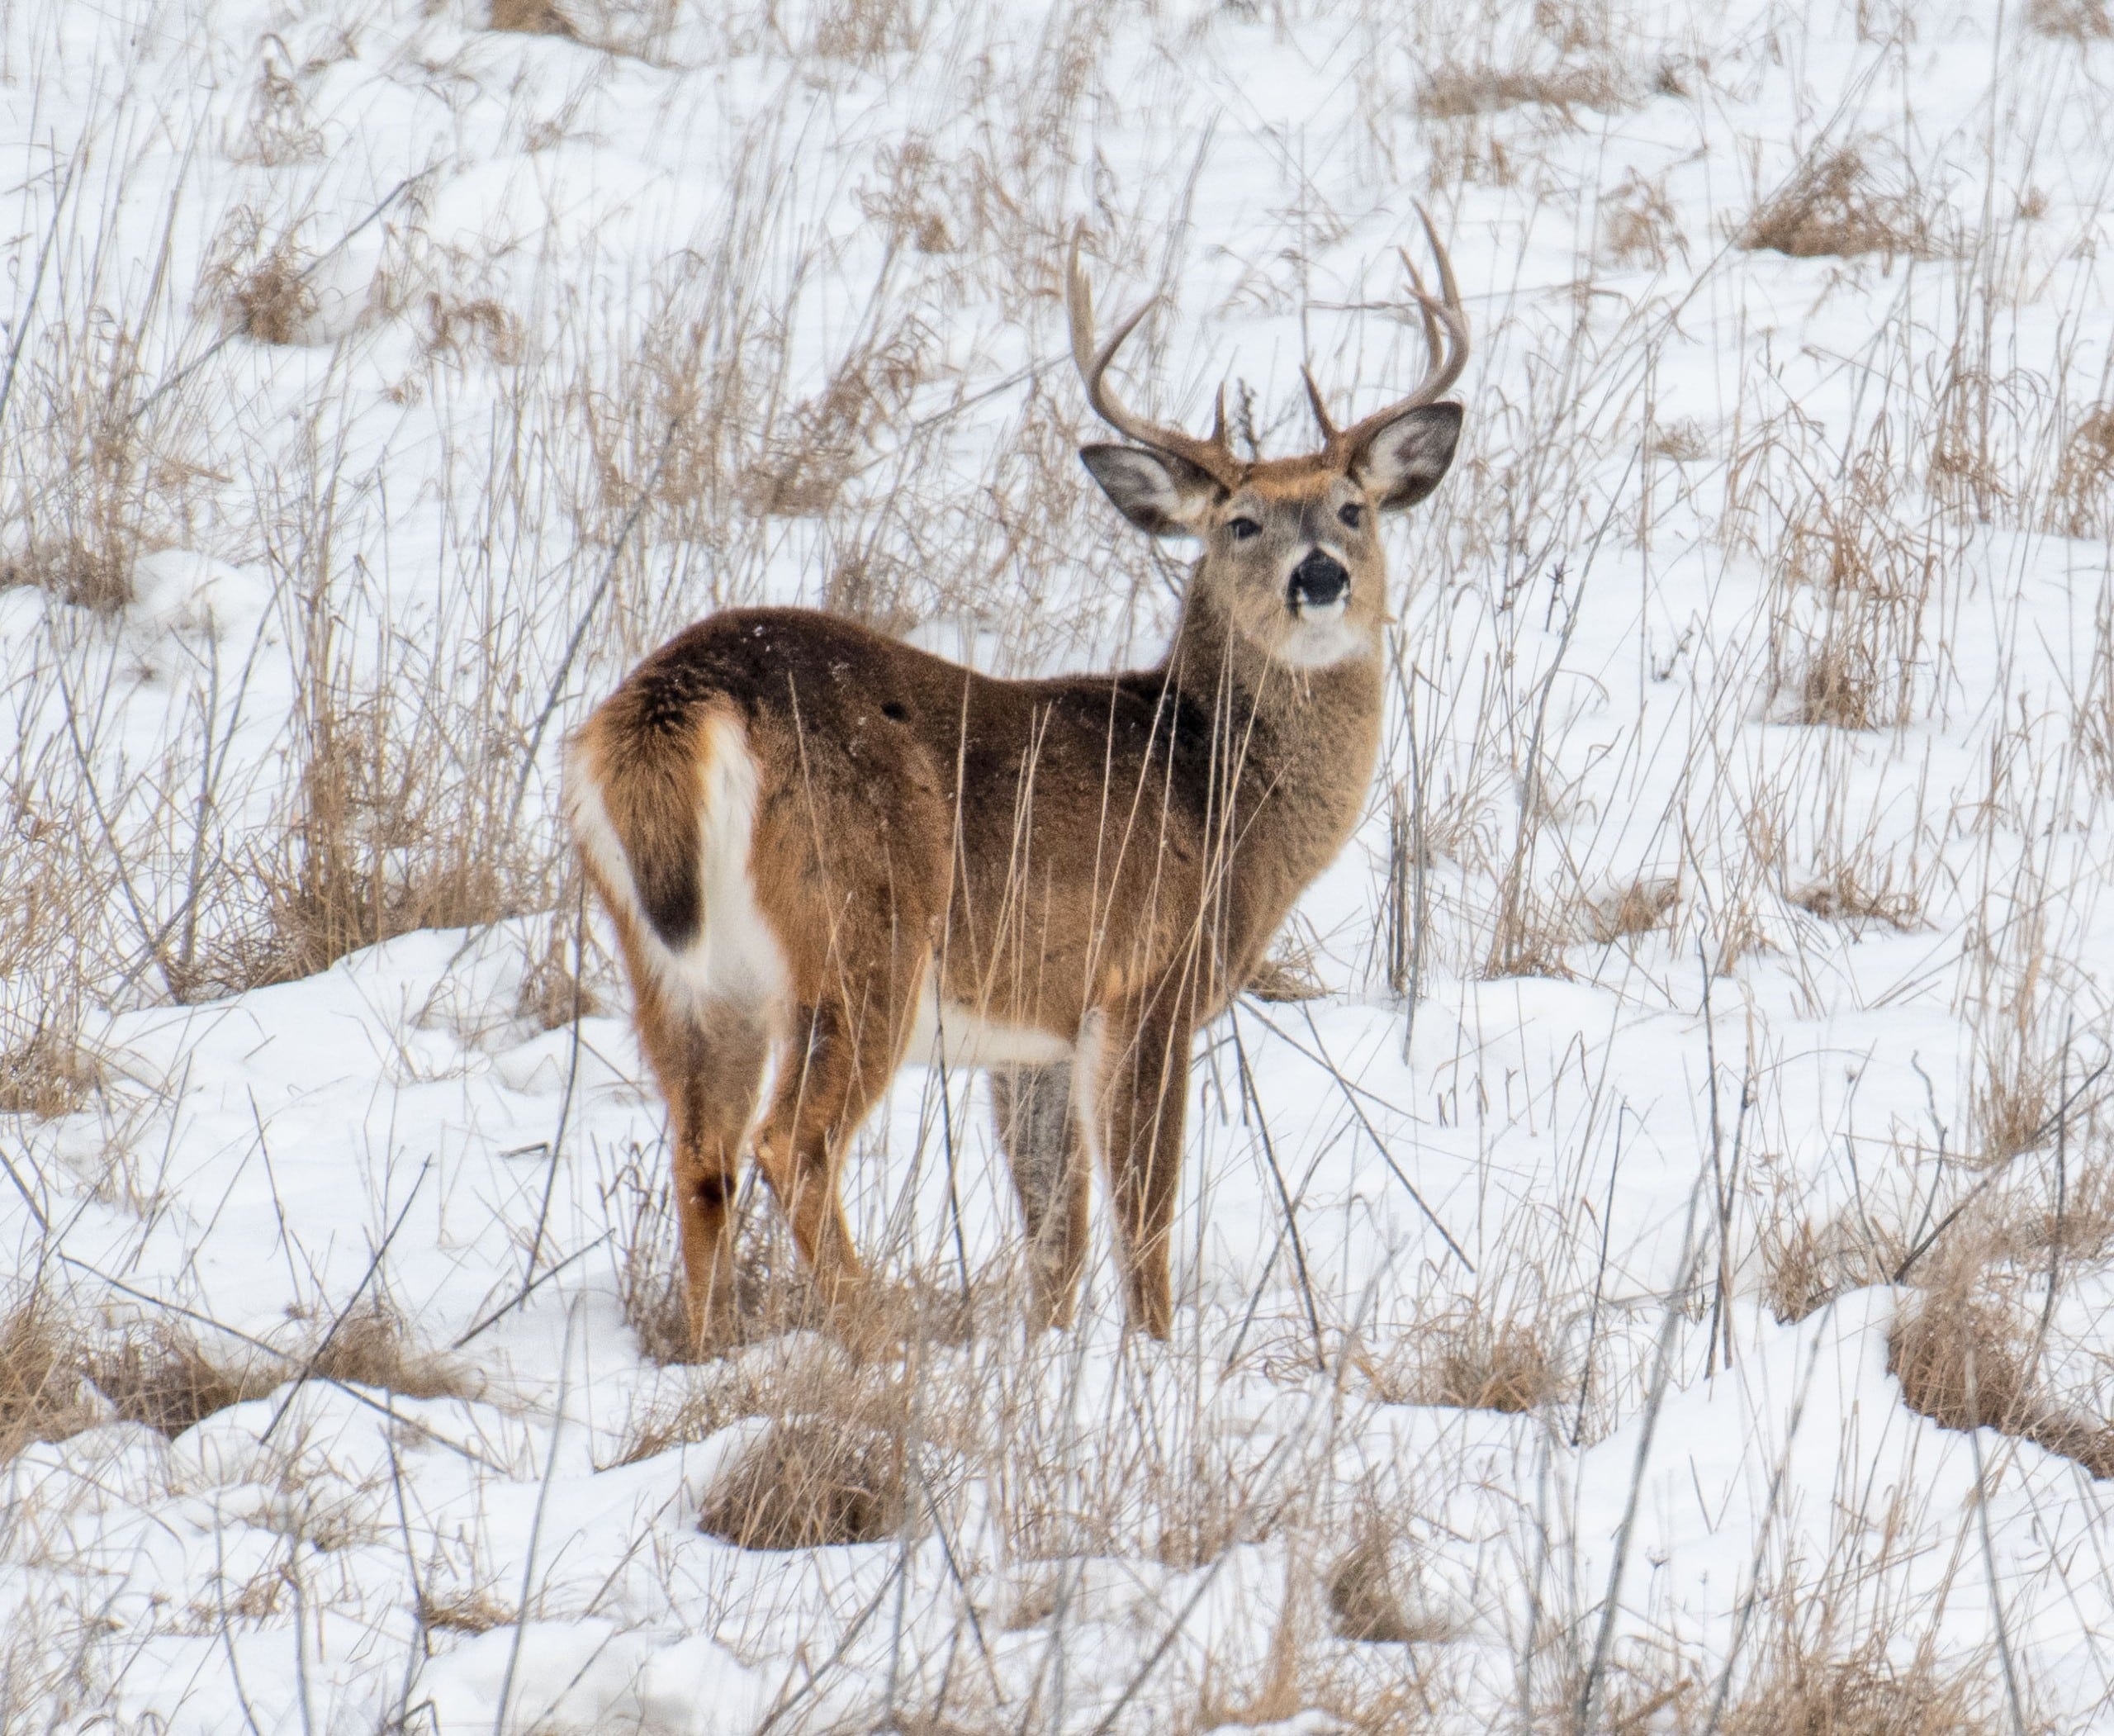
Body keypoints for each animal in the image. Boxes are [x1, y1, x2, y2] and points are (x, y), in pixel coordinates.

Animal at [565, 218, 1467, 1353]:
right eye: (1241, 524)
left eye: (1353, 509)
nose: (1319, 576)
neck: (1213, 786)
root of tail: (676, 695)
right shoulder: (1149, 978)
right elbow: (1142, 1214)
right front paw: (1151, 1357)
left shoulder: (1030, 1035)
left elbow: (1055, 1236)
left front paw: (1050, 1353)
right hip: (865, 929)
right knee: (791, 1144)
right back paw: (876, 1331)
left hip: (676, 968)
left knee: (700, 1155)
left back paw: (711, 1349)